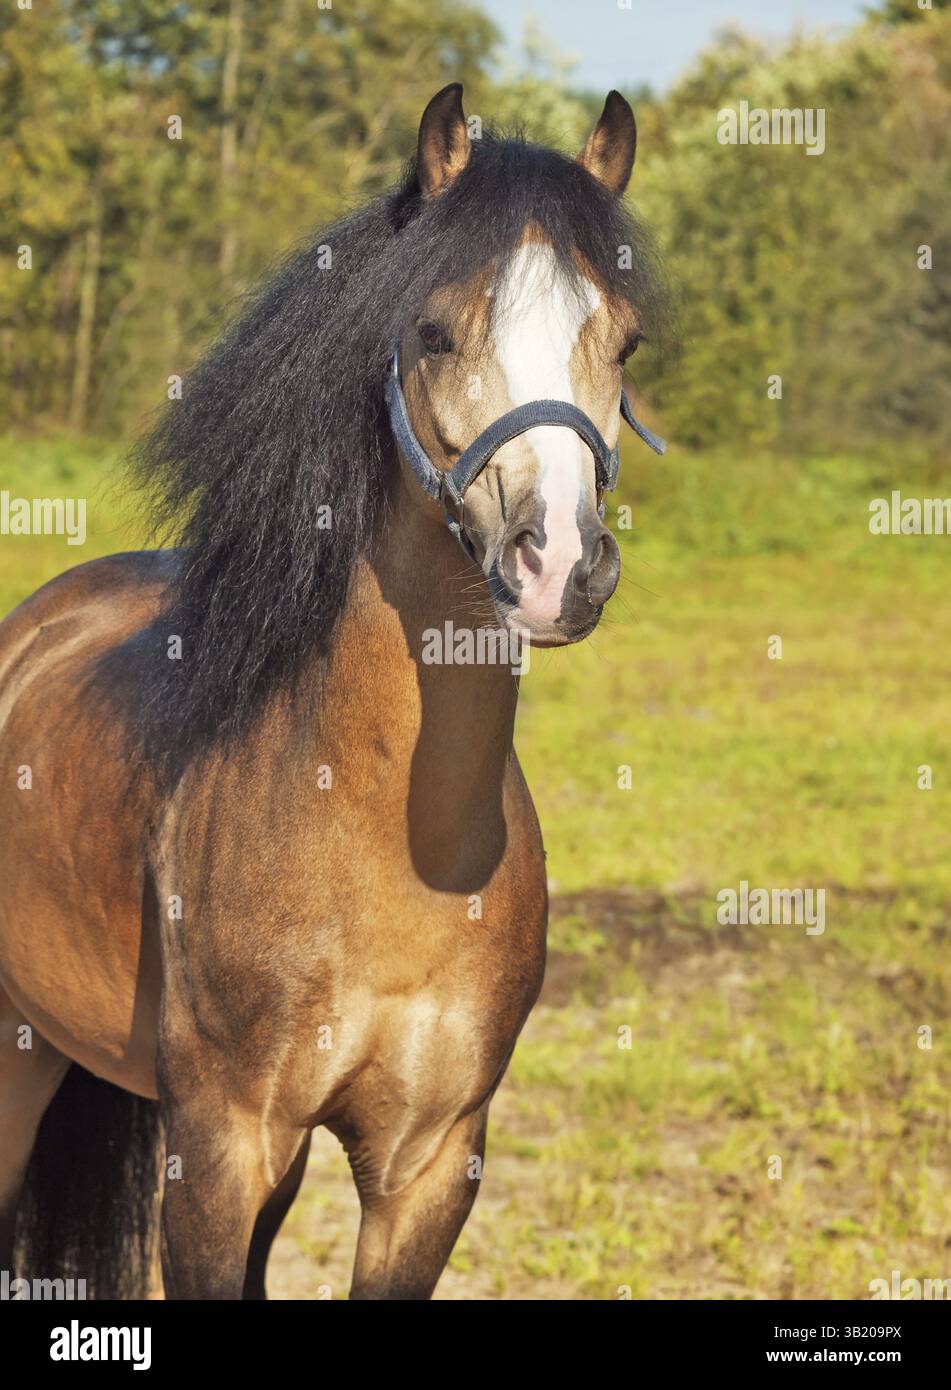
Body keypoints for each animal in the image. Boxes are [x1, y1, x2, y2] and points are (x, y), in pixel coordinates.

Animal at [0, 84, 667, 1300]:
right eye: (434, 330)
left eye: (624, 341)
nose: (560, 564)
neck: (382, 836)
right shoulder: (218, 1153)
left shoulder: (429, 1161)